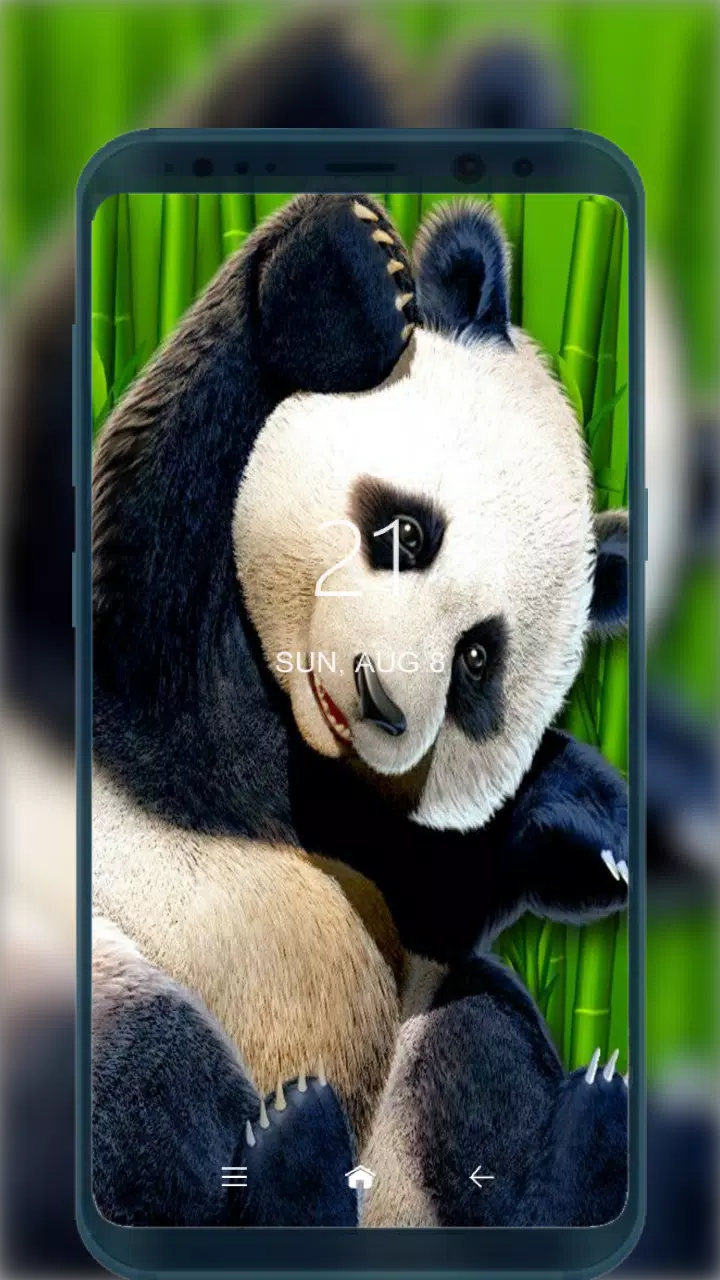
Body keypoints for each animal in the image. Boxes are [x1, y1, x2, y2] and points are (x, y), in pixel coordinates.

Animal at [90, 192, 629, 1231]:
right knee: (143, 1087)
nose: (378, 697)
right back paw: (287, 1163)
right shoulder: (147, 680)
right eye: (406, 533)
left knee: (477, 1038)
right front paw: (354, 268)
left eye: (477, 660)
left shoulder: (375, 822)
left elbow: (439, 886)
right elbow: (143, 520)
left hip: (408, 1097)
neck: (295, 727)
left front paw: (583, 821)